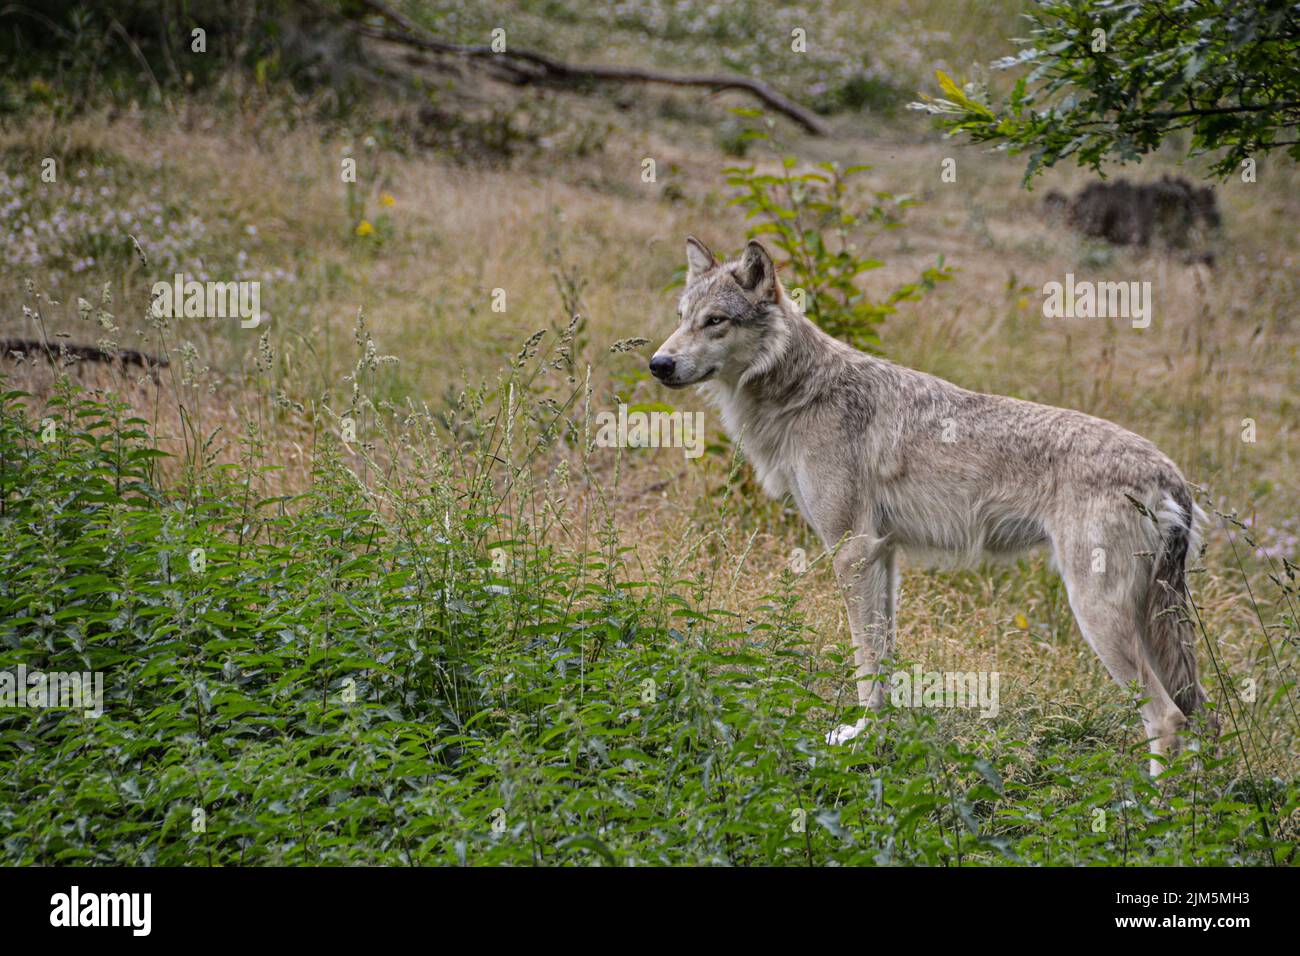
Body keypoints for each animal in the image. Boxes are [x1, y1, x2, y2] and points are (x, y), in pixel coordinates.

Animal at [650, 237, 1215, 774]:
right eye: (679, 317)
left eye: (715, 321)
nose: (658, 364)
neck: (802, 392)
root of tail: (1171, 474)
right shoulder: (883, 554)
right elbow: (883, 661)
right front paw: (875, 734)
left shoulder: (852, 551)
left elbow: (863, 660)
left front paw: (859, 743)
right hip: (1149, 621)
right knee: (1197, 714)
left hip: (1097, 613)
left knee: (1167, 717)